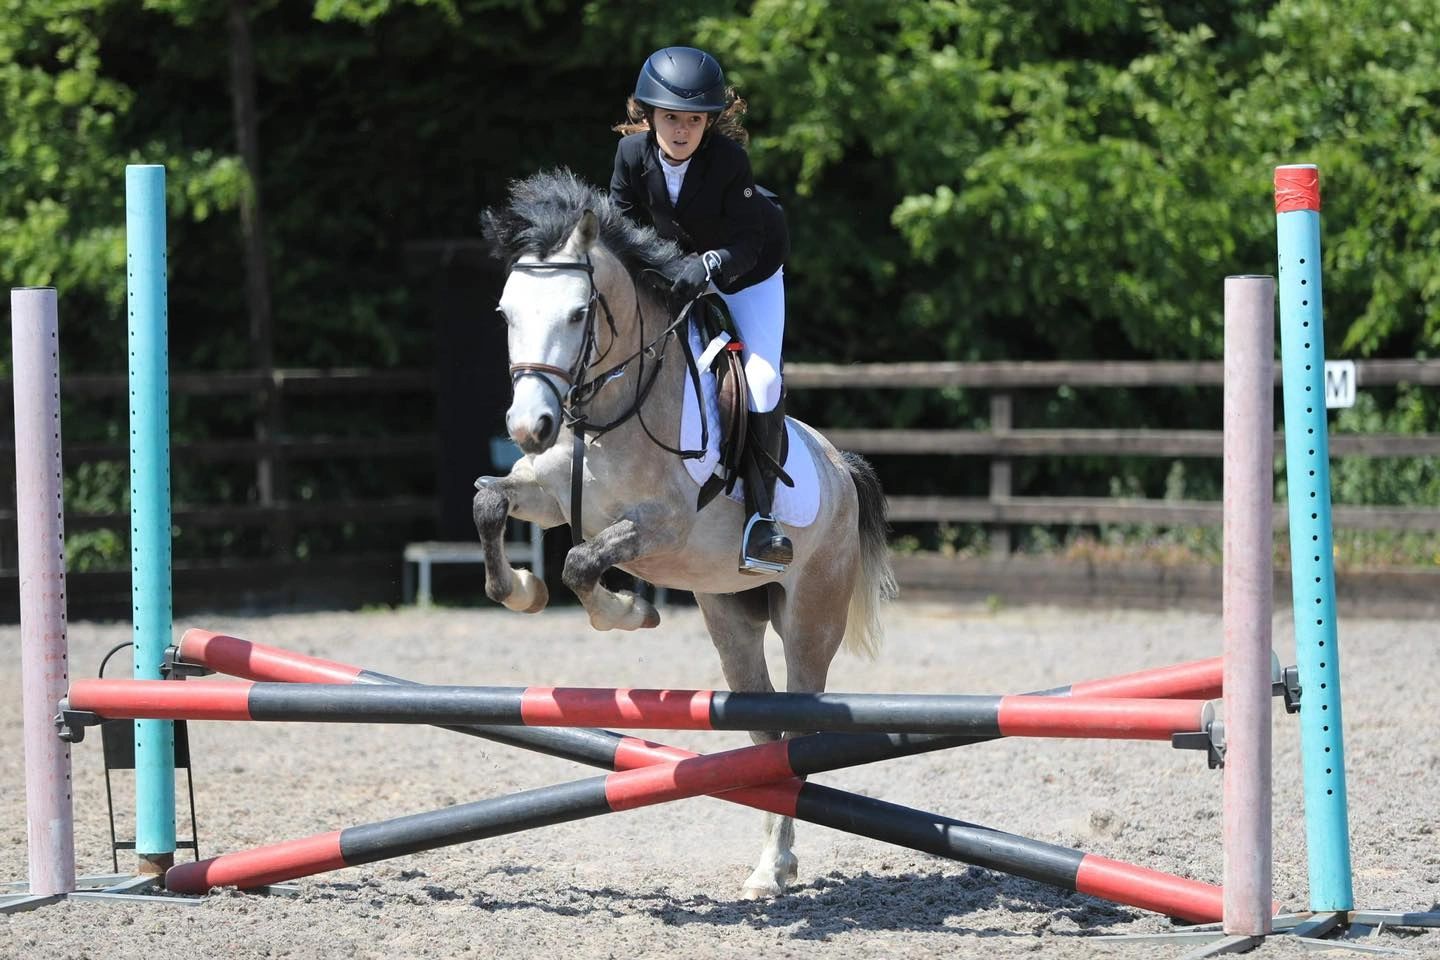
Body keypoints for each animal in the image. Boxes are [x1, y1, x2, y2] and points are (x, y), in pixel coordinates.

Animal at [473, 169, 896, 899]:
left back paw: (774, 867)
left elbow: (582, 562)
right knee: (762, 732)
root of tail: (841, 467)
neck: (612, 413)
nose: (530, 427)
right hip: (730, 614)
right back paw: (770, 864)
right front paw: (522, 589)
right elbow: (491, 505)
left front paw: (626, 610)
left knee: (794, 725)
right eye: (507, 314)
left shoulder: (663, 528)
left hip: (810, 619)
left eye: (578, 315)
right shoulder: (548, 496)